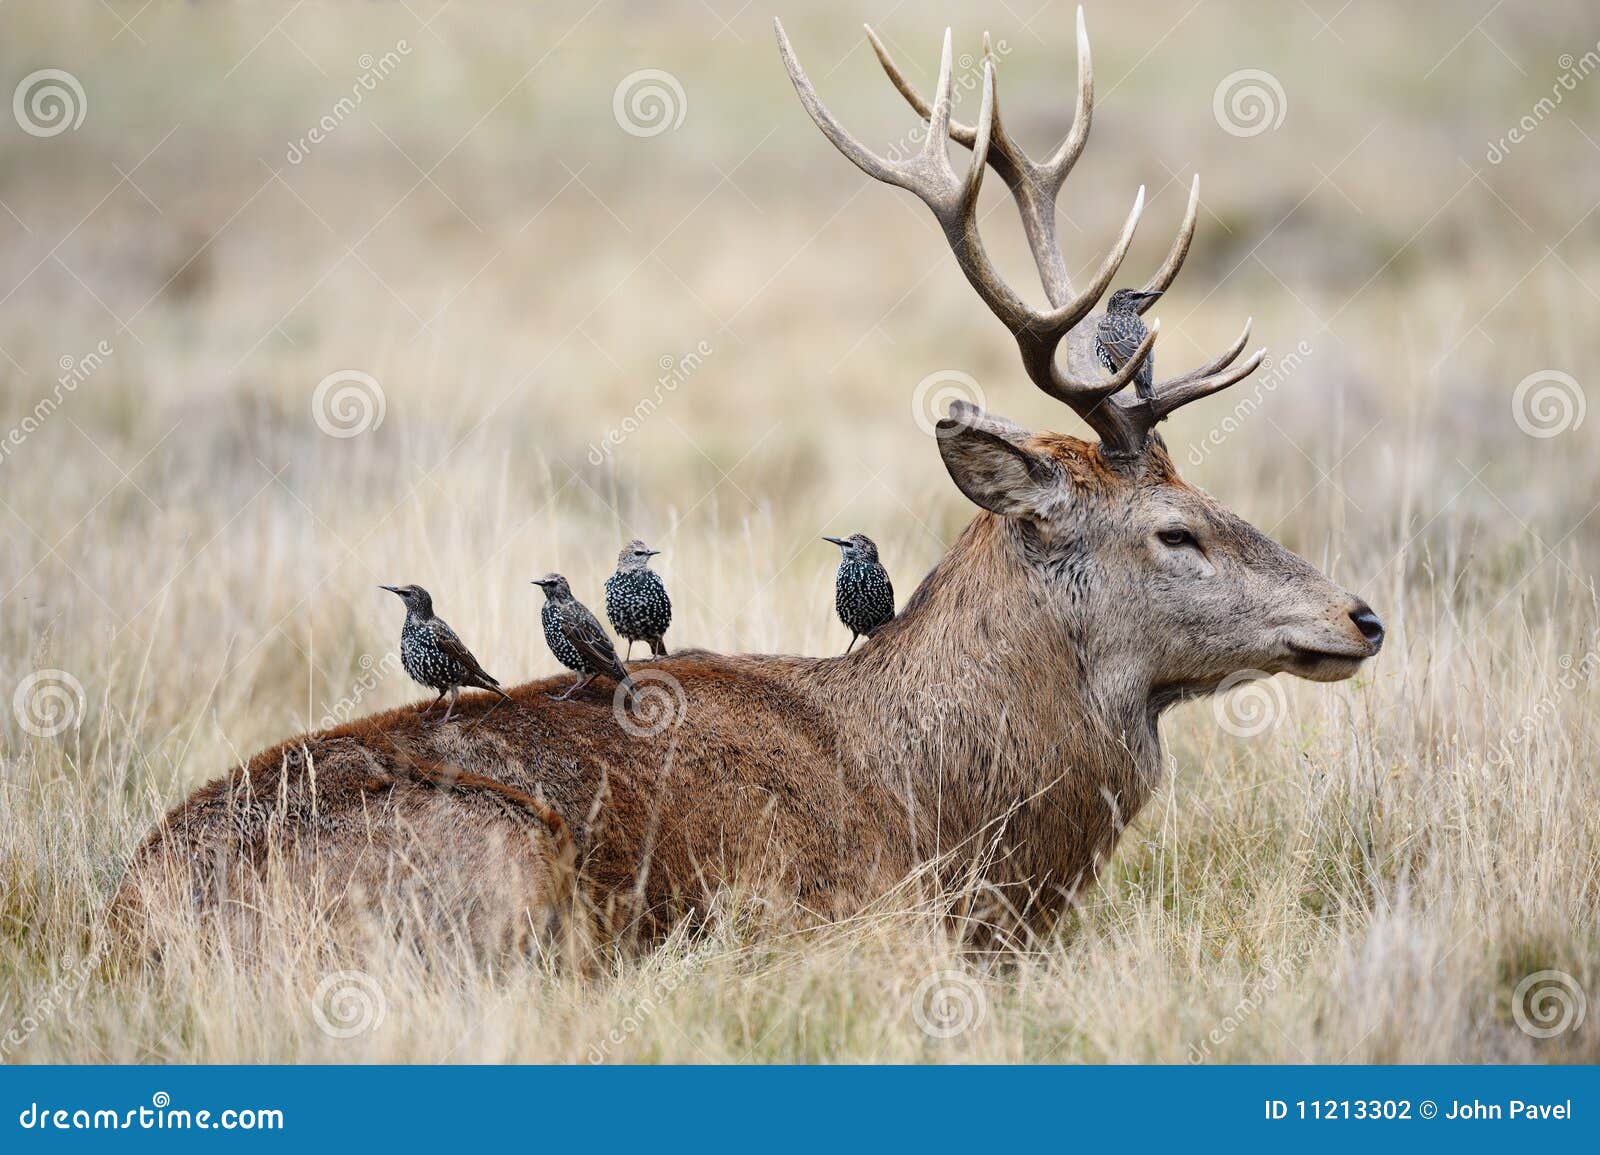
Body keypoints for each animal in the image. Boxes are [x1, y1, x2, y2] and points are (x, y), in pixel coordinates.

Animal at [109, 13, 1384, 961]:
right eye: (1177, 532)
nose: (1360, 615)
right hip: (494, 863)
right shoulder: (833, 914)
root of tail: (124, 923)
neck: (946, 815)